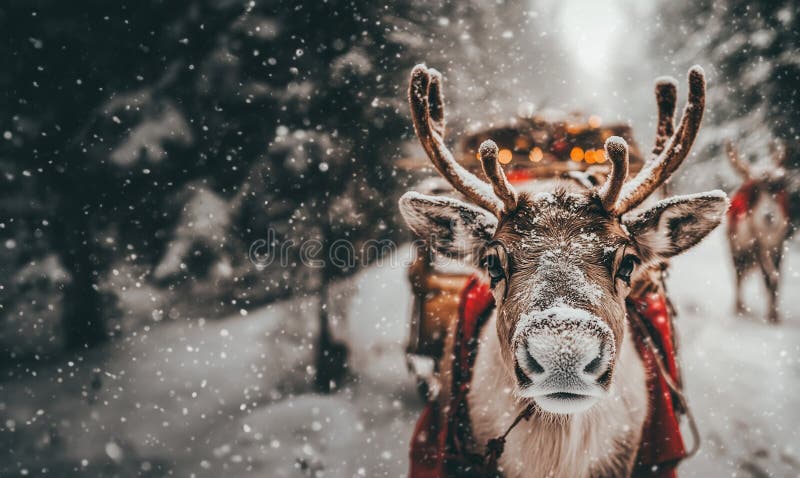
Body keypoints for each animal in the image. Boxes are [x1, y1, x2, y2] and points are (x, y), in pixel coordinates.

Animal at [725, 141, 791, 323]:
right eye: (753, 191)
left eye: (778, 188)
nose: (768, 217)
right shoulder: (757, 245)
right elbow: (767, 278)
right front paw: (771, 317)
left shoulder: (778, 244)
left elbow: (775, 279)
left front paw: (775, 316)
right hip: (736, 249)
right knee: (738, 275)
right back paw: (739, 307)